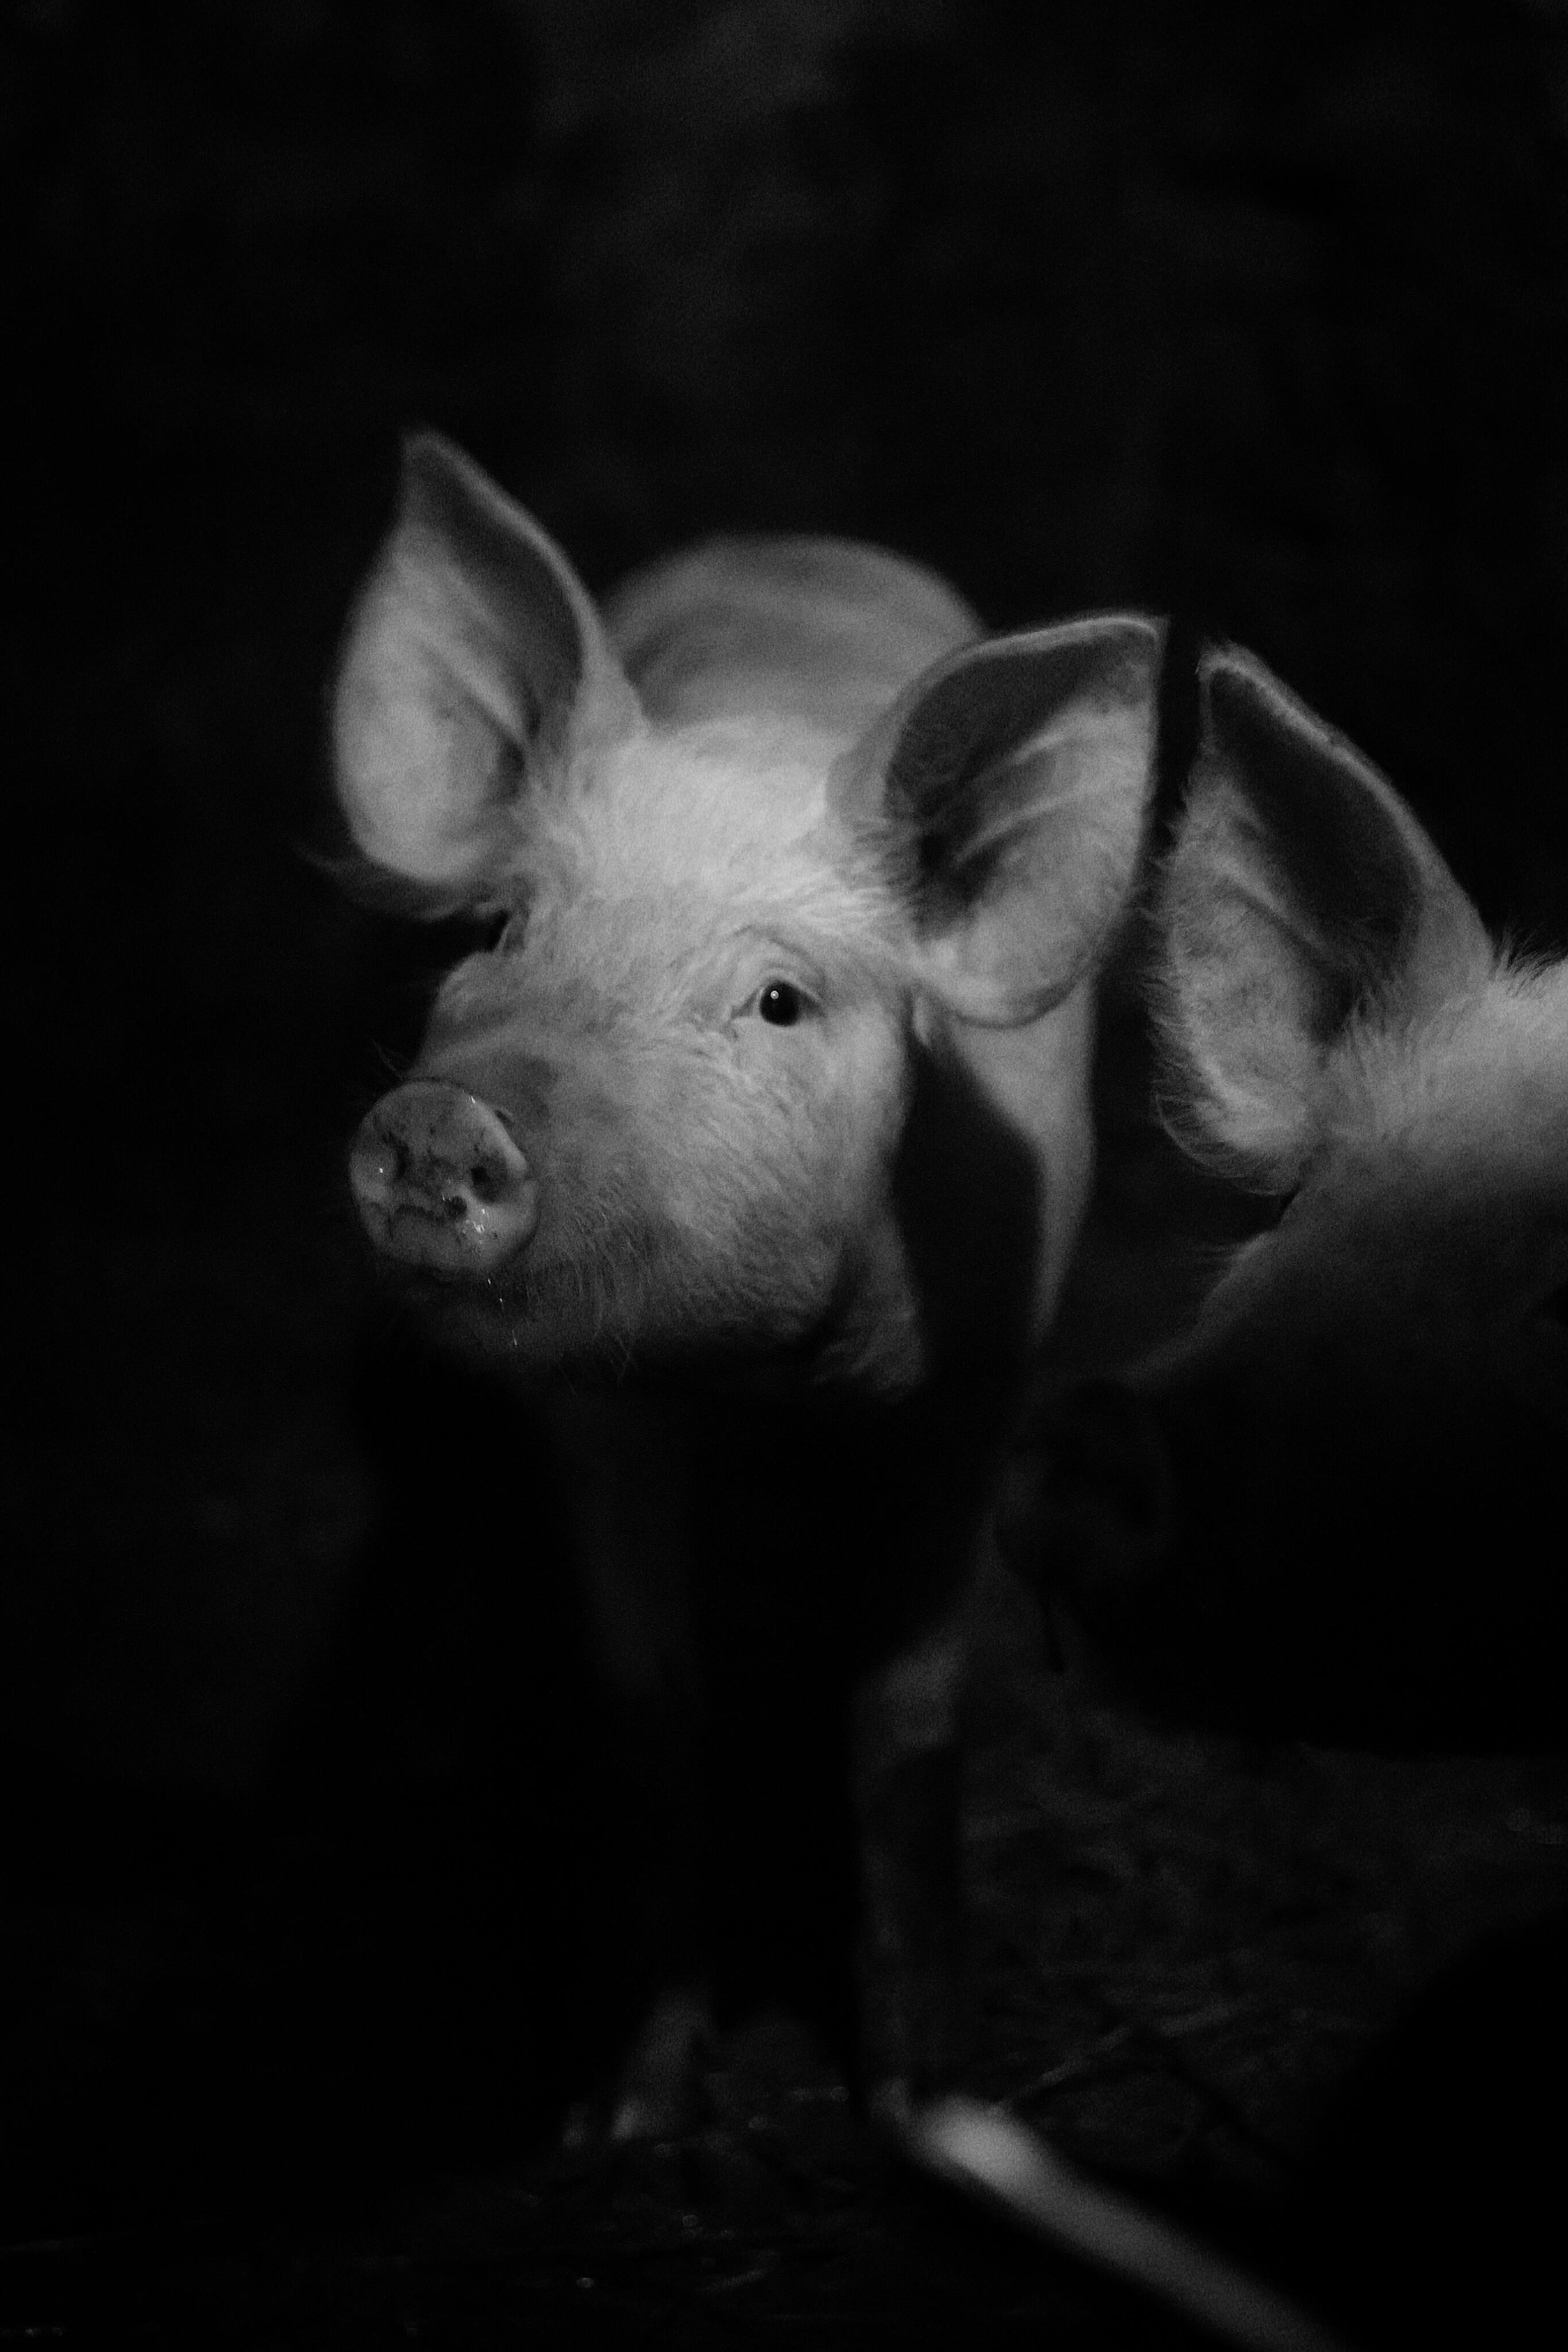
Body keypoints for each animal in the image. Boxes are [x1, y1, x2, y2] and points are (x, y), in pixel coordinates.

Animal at [332, 433, 1163, 2137]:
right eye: (503, 929)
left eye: (778, 1000)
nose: (447, 1115)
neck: (759, 1380)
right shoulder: (586, 1409)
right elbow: (649, 1711)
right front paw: (622, 2122)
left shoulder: (980, 1375)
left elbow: (905, 1721)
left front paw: (920, 2099)